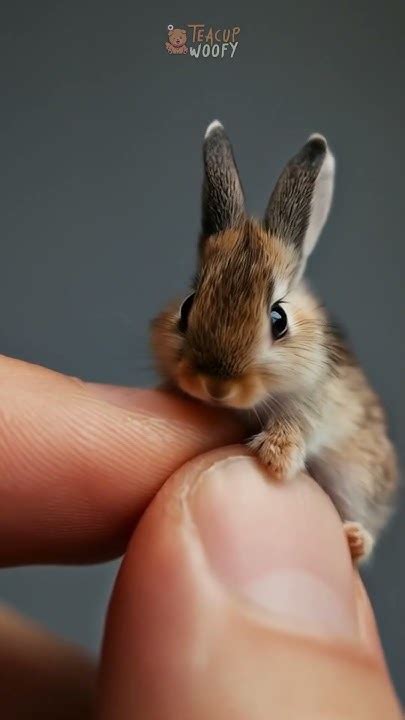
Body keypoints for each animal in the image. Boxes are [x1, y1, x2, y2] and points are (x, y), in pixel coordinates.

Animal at [151, 120, 398, 562]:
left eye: (278, 320)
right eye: (187, 306)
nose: (216, 387)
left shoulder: (318, 401)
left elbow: (298, 422)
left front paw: (275, 460)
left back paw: (354, 540)